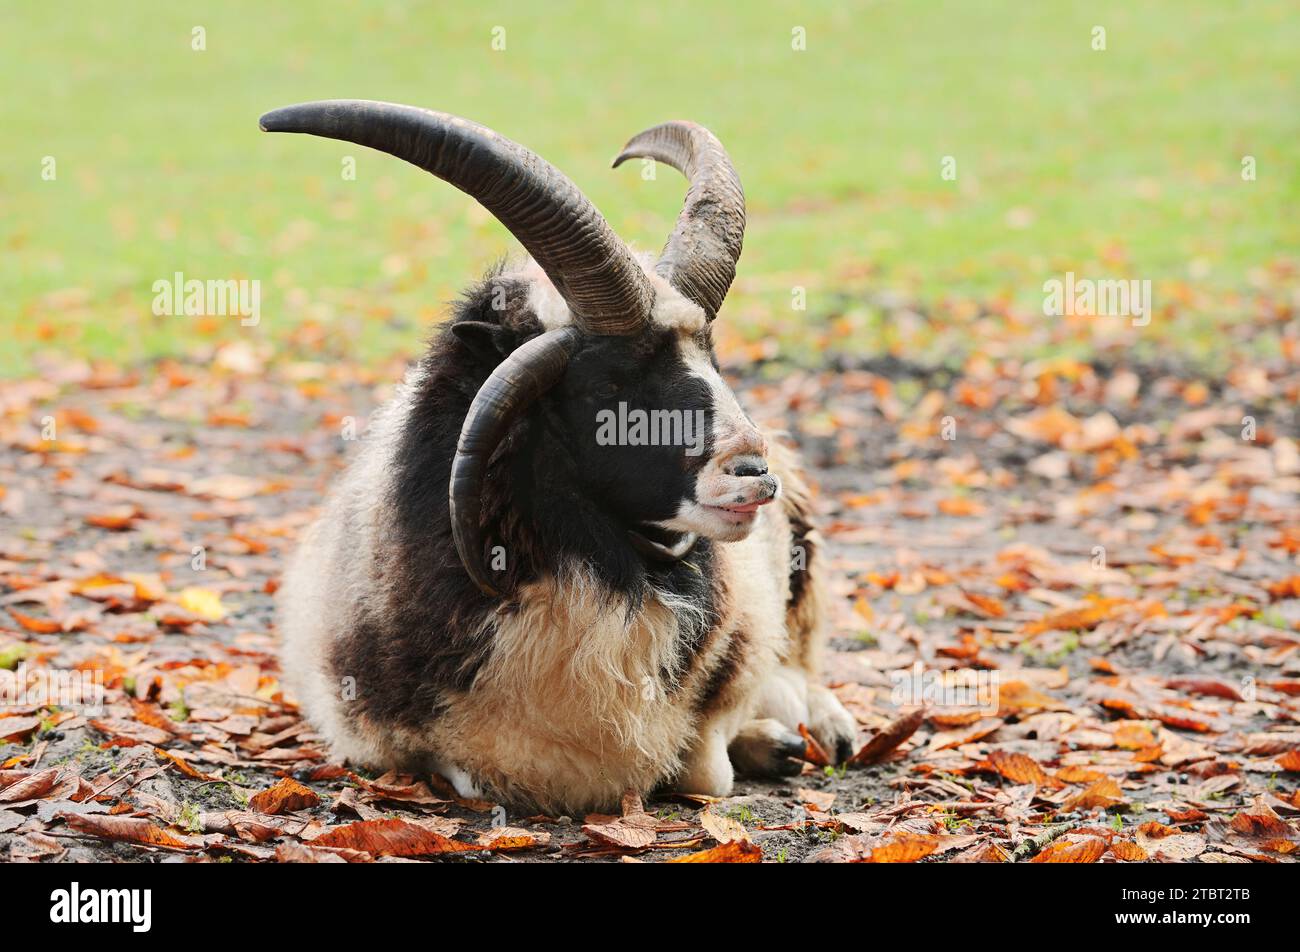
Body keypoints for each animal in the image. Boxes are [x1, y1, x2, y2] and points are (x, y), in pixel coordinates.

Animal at [262, 101, 858, 813]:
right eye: (604, 386)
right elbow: (471, 775)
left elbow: (705, 769)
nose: (751, 478)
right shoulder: (375, 738)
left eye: (712, 358)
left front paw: (770, 739)